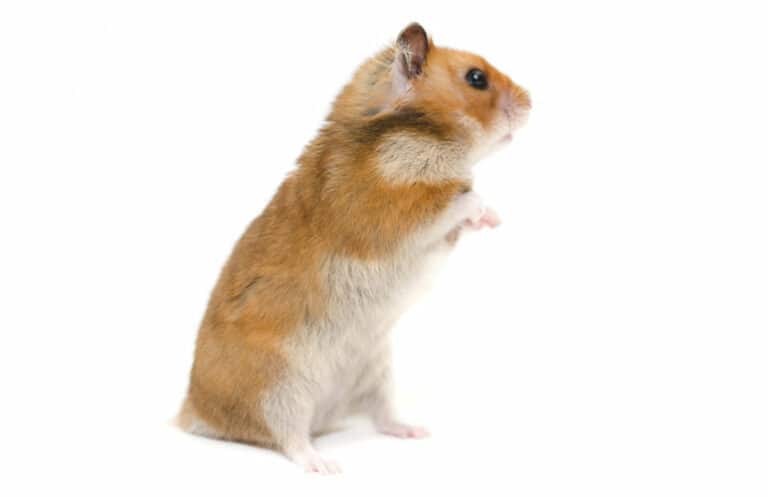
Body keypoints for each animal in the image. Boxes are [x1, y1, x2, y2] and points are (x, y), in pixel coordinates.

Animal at [178, 22, 531, 474]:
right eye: (476, 78)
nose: (532, 101)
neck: (415, 135)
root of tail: (193, 412)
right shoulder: (394, 213)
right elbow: (457, 200)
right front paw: (488, 211)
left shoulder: (434, 238)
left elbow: (457, 222)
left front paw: (493, 220)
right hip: (279, 389)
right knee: (289, 438)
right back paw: (324, 465)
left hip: (373, 370)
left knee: (382, 416)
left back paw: (414, 431)